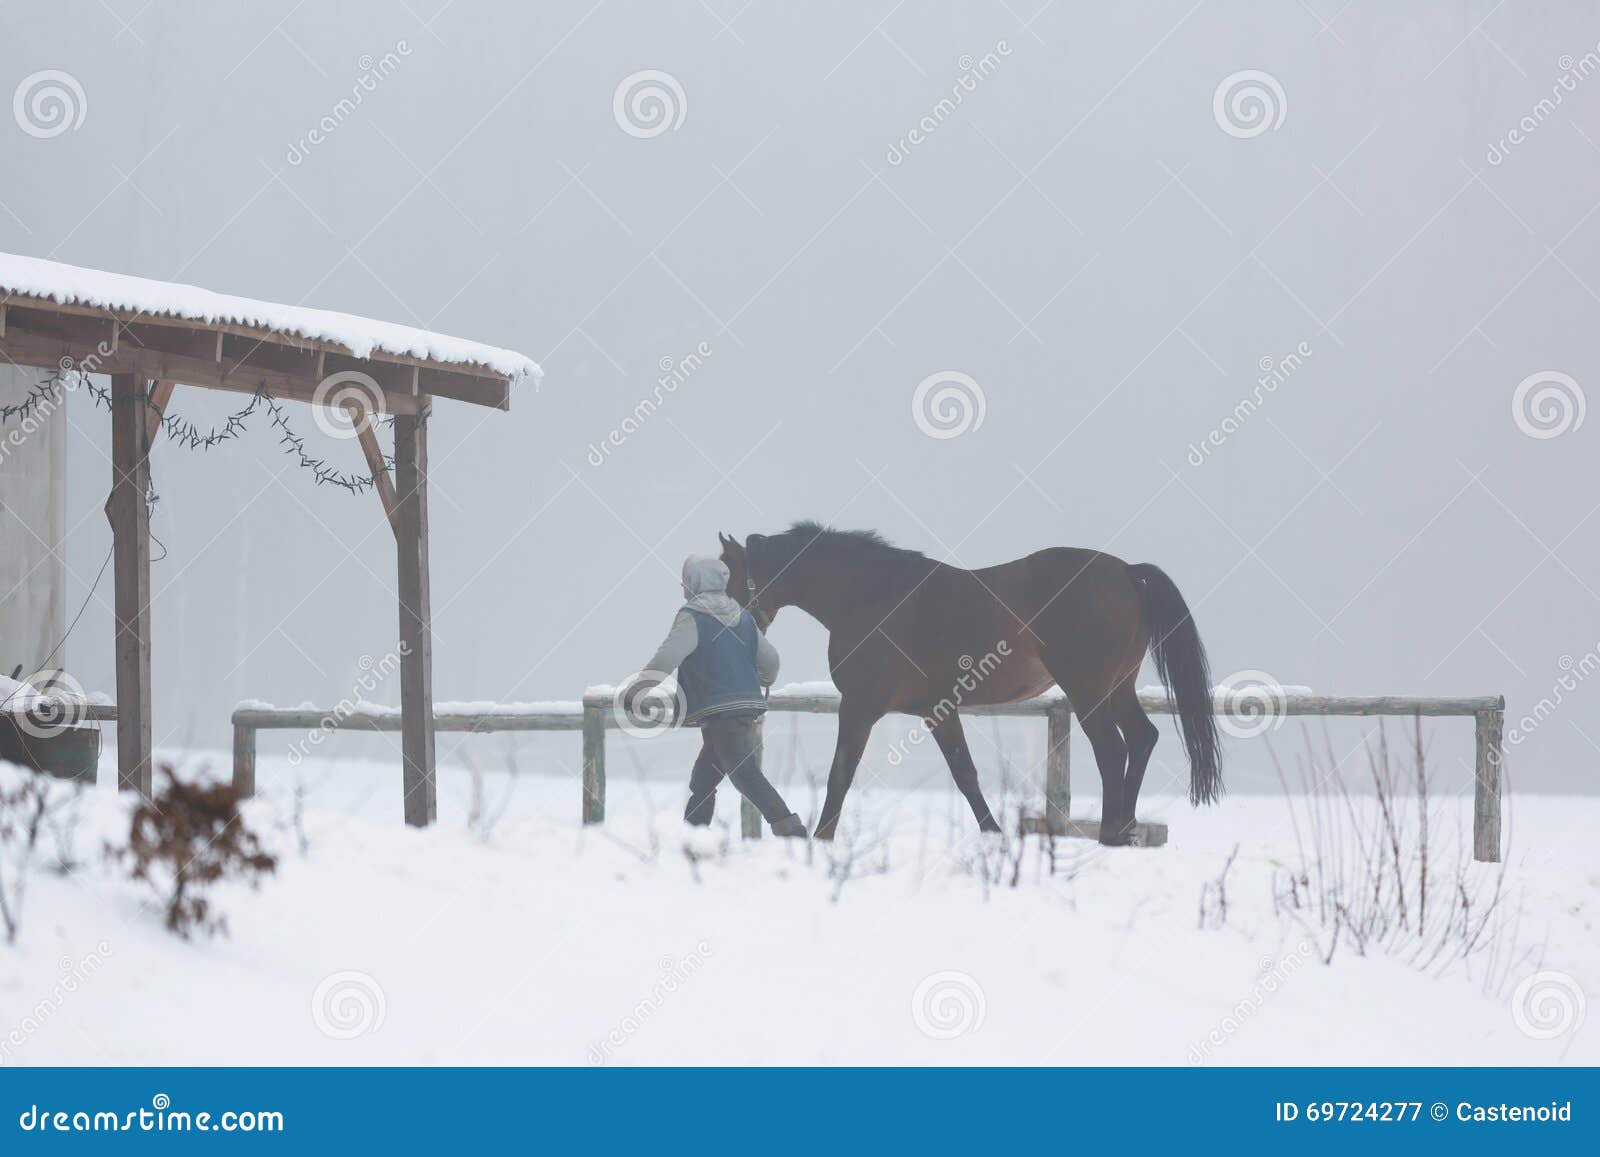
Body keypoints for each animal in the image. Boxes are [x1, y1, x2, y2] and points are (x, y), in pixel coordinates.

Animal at [717, 523, 1221, 845]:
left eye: (729, 576)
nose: (727, 627)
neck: (869, 596)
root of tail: (1126, 571)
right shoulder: (938, 710)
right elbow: (966, 775)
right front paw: (993, 835)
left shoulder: (860, 705)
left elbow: (841, 773)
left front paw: (822, 839)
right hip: (1118, 687)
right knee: (1142, 738)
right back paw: (1127, 827)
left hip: (1088, 691)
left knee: (1113, 751)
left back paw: (1112, 833)